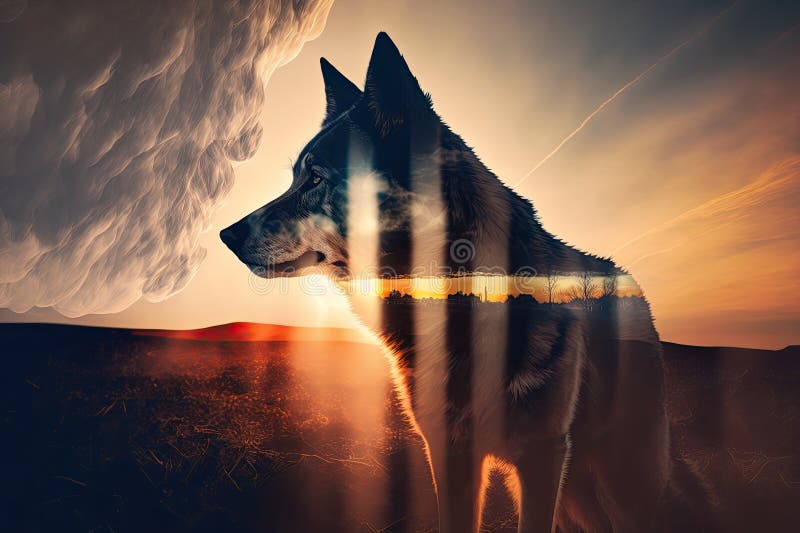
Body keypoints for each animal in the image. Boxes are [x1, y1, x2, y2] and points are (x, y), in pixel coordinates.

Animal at [221, 33, 711, 532]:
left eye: (315, 177)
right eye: (295, 177)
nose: (227, 234)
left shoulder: (542, 456)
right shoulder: (450, 455)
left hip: (622, 478)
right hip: (576, 489)